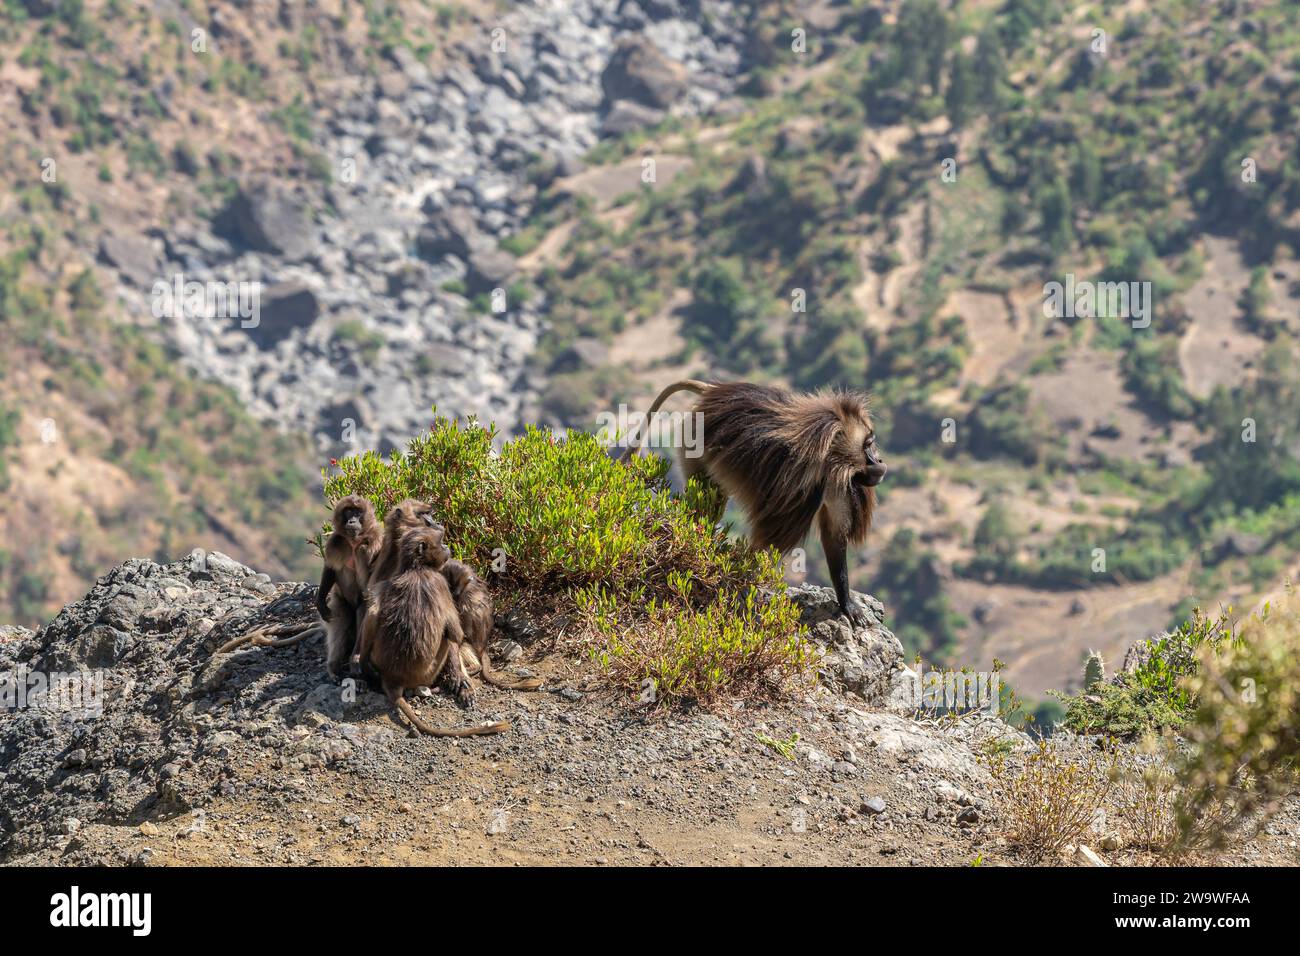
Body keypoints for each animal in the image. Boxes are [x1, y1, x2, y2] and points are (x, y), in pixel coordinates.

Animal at [367, 526, 509, 737]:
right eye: (440, 542)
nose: (447, 547)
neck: (416, 568)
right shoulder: (442, 583)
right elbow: (455, 634)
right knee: (450, 639)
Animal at [621, 380, 887, 625]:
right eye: (868, 445)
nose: (881, 461)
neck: (829, 458)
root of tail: (713, 391)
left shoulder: (838, 487)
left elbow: (834, 535)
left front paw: (847, 604)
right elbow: (763, 546)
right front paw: (740, 591)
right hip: (694, 442)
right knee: (706, 505)